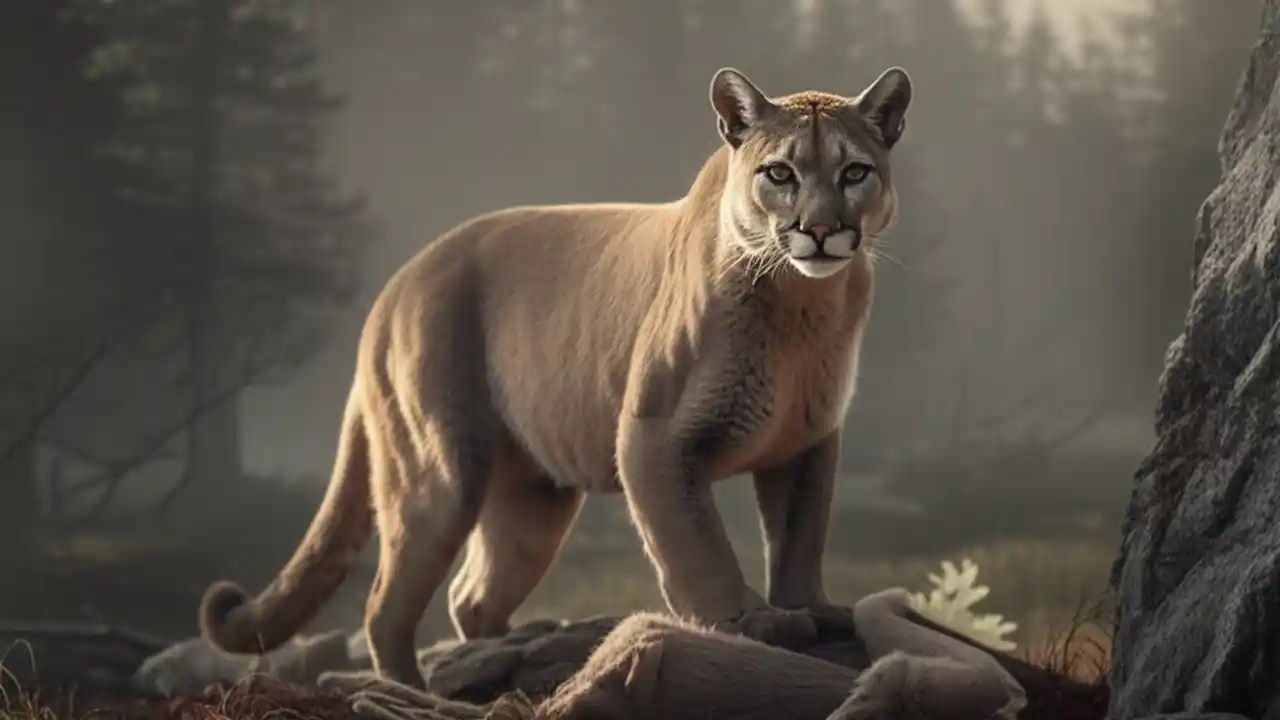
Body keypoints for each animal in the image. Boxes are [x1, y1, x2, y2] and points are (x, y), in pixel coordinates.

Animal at [199, 65, 913, 688]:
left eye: (855, 172)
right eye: (779, 174)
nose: (820, 229)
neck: (803, 305)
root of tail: (394, 288)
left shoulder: (806, 441)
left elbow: (799, 535)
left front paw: (809, 607)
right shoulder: (654, 437)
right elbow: (697, 544)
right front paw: (747, 620)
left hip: (531, 500)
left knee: (472, 594)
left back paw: (503, 653)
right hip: (439, 474)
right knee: (386, 604)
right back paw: (418, 690)